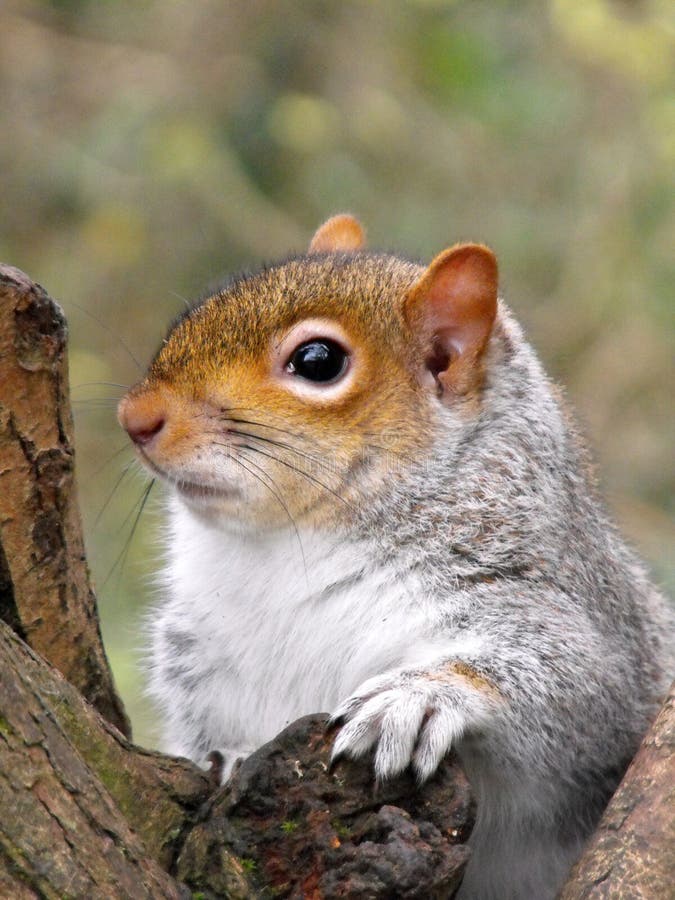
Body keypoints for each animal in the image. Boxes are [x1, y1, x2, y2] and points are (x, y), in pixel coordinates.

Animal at [118, 215, 673, 900]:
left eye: (318, 361)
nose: (135, 417)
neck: (286, 544)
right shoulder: (195, 657)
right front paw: (232, 758)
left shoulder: (561, 606)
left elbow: (586, 694)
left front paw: (420, 696)